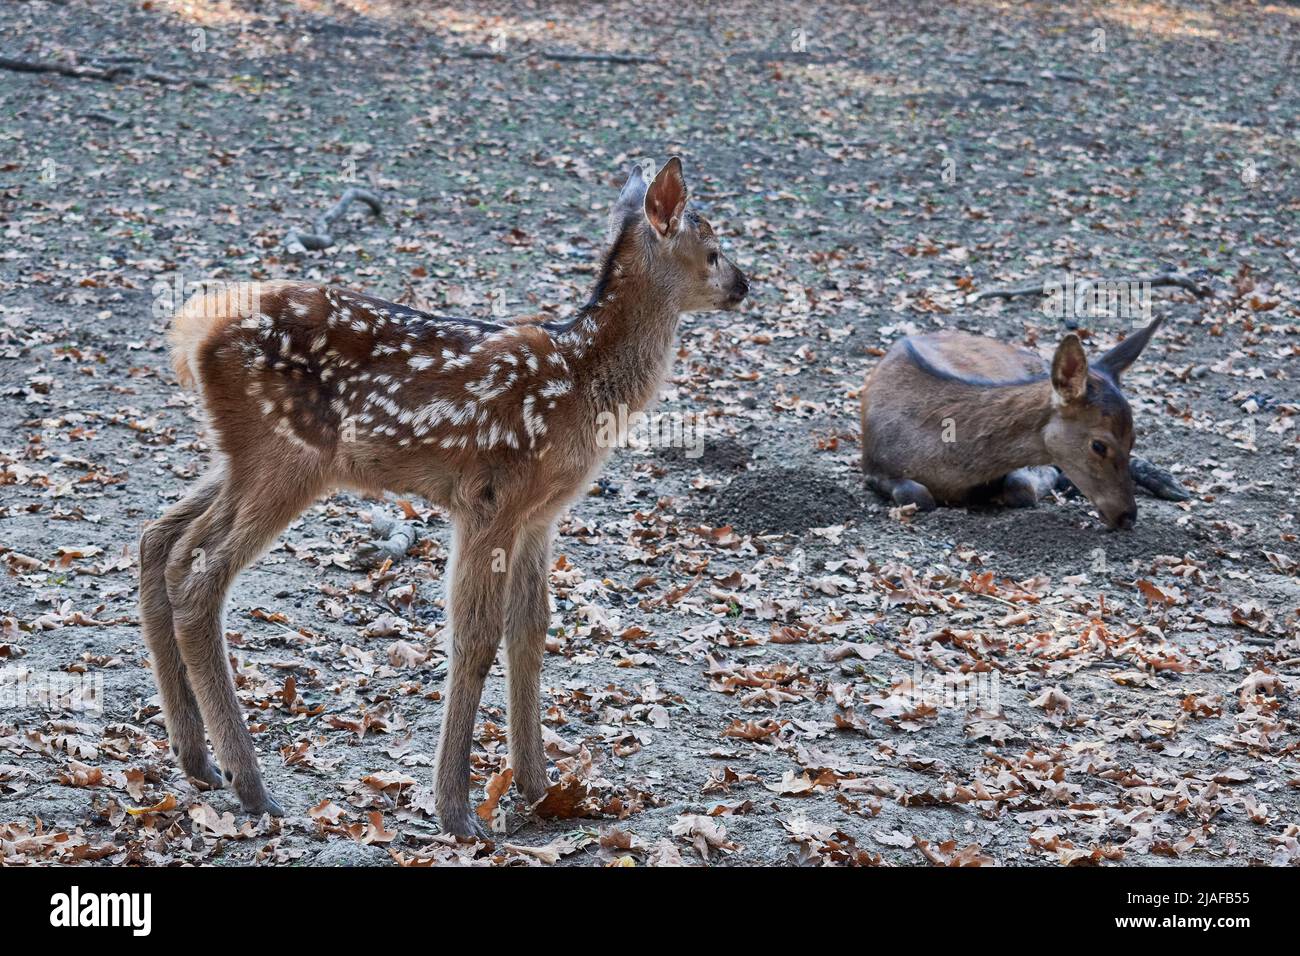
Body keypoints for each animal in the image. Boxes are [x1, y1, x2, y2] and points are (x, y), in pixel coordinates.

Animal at [139, 158, 748, 838]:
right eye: (712, 245)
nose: (744, 284)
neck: (584, 378)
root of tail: (194, 328)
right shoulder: (492, 498)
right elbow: (475, 639)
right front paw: (456, 809)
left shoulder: (541, 515)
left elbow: (531, 632)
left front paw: (539, 788)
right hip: (285, 456)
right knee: (198, 576)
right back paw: (250, 783)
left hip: (242, 458)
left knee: (159, 539)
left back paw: (196, 758)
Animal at [859, 316, 1187, 529]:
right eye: (1098, 445)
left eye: (1133, 438)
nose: (1127, 517)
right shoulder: (874, 466)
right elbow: (917, 495)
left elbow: (1021, 488)